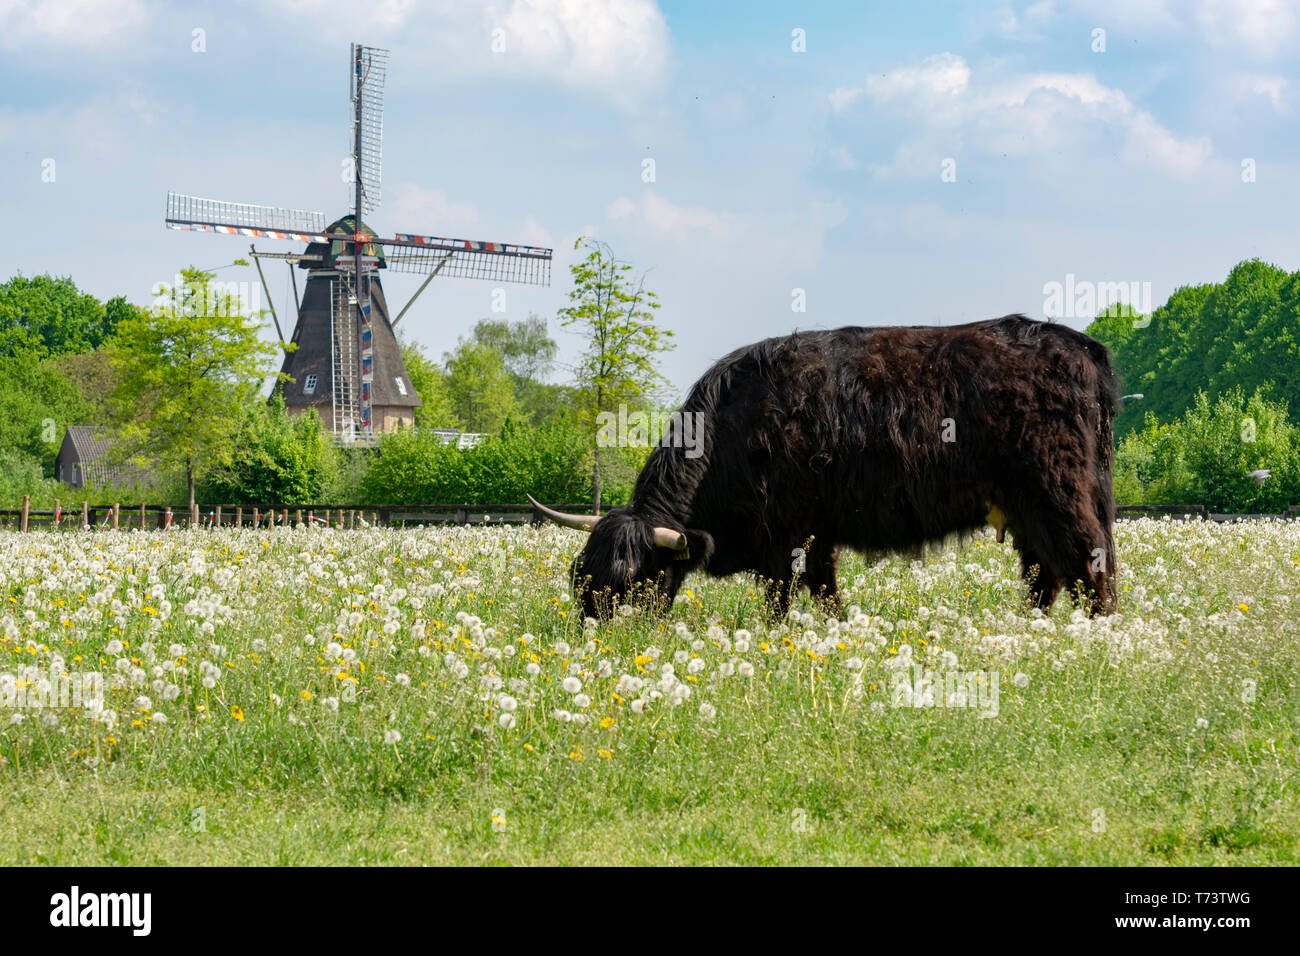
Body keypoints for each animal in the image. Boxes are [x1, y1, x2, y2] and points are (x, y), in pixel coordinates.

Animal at [532, 315, 1119, 620]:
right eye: (581, 577)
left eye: (636, 581)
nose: (594, 637)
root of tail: (1077, 344)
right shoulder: (817, 532)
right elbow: (825, 590)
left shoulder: (789, 532)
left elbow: (783, 594)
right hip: (1027, 507)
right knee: (1046, 571)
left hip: (1058, 492)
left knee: (1088, 561)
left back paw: (1097, 631)